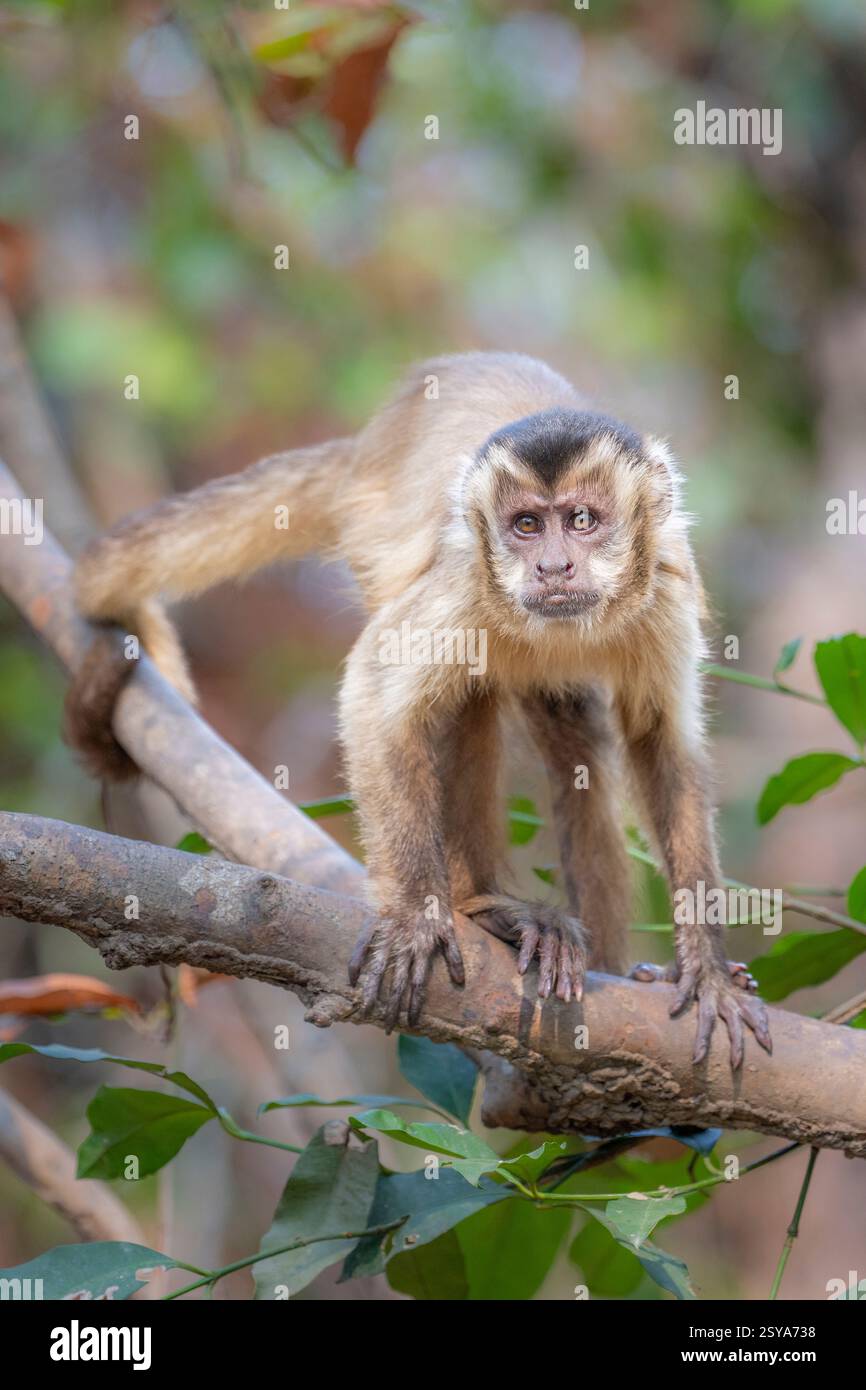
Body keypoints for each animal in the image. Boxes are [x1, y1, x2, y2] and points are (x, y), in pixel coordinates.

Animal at [65, 350, 771, 1069]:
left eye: (582, 521)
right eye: (525, 526)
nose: (552, 567)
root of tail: (370, 444)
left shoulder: (668, 583)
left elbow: (662, 747)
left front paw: (707, 970)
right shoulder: (463, 578)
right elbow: (375, 695)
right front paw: (415, 918)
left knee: (579, 744)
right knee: (470, 702)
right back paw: (486, 909)